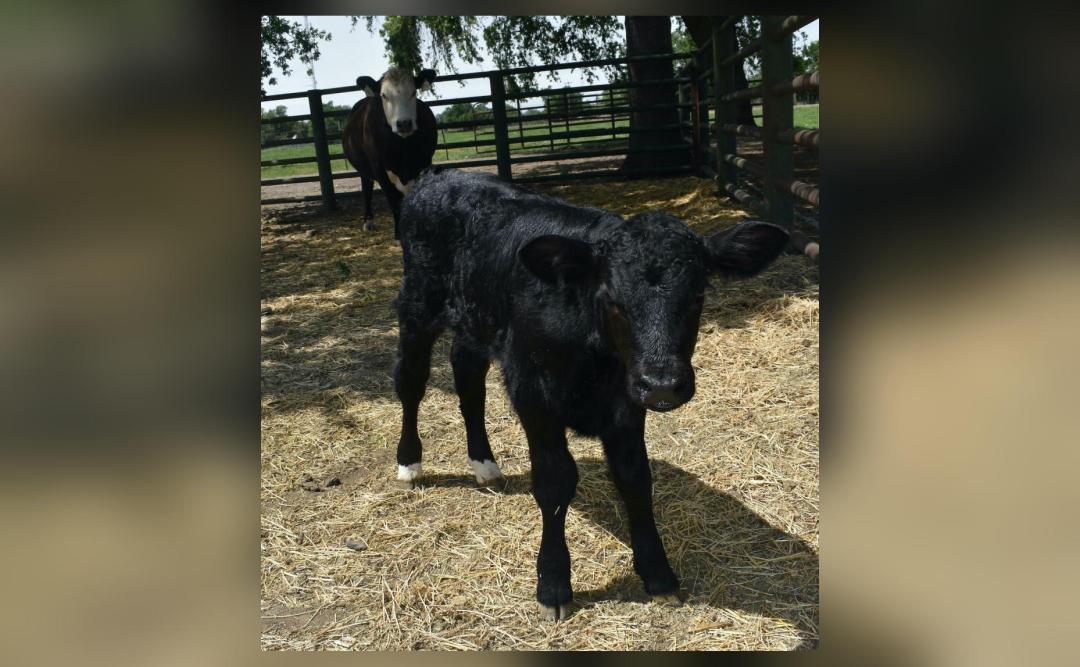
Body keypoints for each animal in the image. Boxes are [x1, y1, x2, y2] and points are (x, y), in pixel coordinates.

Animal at [341, 67, 438, 239]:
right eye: (384, 95)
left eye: (414, 92)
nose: (404, 123)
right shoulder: (379, 168)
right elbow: (393, 199)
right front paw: (399, 234)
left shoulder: (424, 162)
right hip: (365, 171)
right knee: (367, 189)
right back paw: (368, 222)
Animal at [391, 168, 789, 621]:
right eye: (612, 299)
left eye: (698, 295)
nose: (663, 384)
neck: (595, 356)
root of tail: (439, 176)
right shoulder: (534, 394)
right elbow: (555, 481)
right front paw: (553, 585)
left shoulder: (626, 402)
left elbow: (635, 478)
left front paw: (658, 575)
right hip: (417, 304)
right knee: (412, 380)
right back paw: (409, 464)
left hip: (474, 318)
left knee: (468, 377)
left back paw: (485, 465)